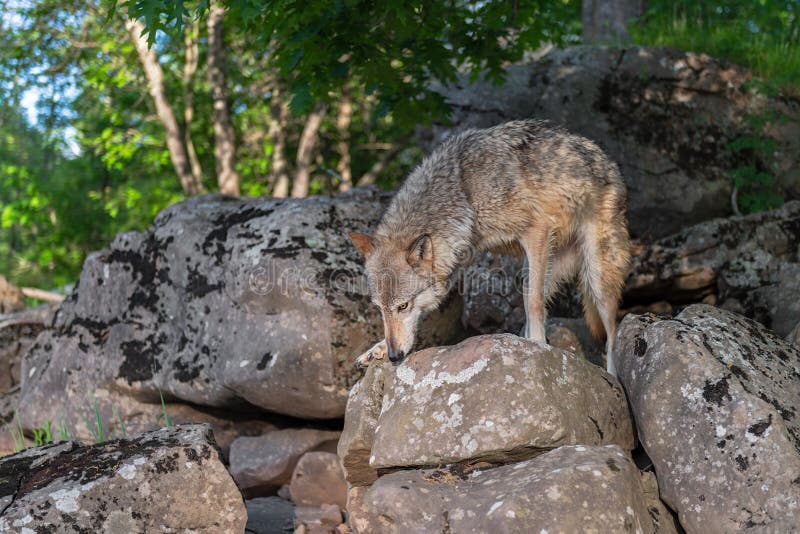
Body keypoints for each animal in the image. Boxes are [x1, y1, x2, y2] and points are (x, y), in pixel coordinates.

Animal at [349, 119, 630, 376]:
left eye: (403, 306)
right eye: (380, 309)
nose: (395, 356)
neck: (464, 191)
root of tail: (606, 159)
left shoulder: (536, 230)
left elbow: (534, 303)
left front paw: (538, 348)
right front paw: (376, 349)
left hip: (596, 277)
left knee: (612, 333)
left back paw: (613, 378)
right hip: (540, 270)